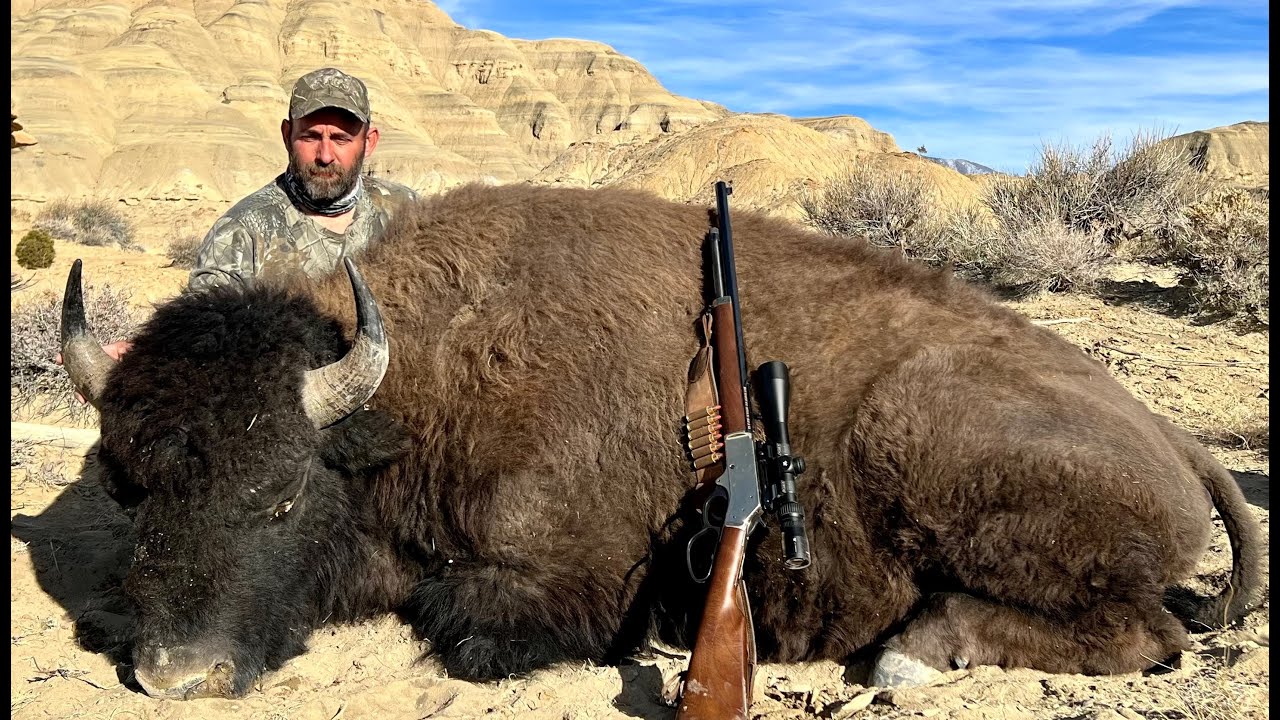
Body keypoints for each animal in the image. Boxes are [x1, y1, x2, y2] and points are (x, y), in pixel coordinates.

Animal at [59, 183, 1262, 700]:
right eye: (131, 489)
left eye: (278, 495)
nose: (176, 677)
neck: (423, 380)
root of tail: (1166, 431)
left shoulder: (551, 581)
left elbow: (463, 624)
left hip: (935, 451)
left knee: (1144, 630)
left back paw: (913, 654)